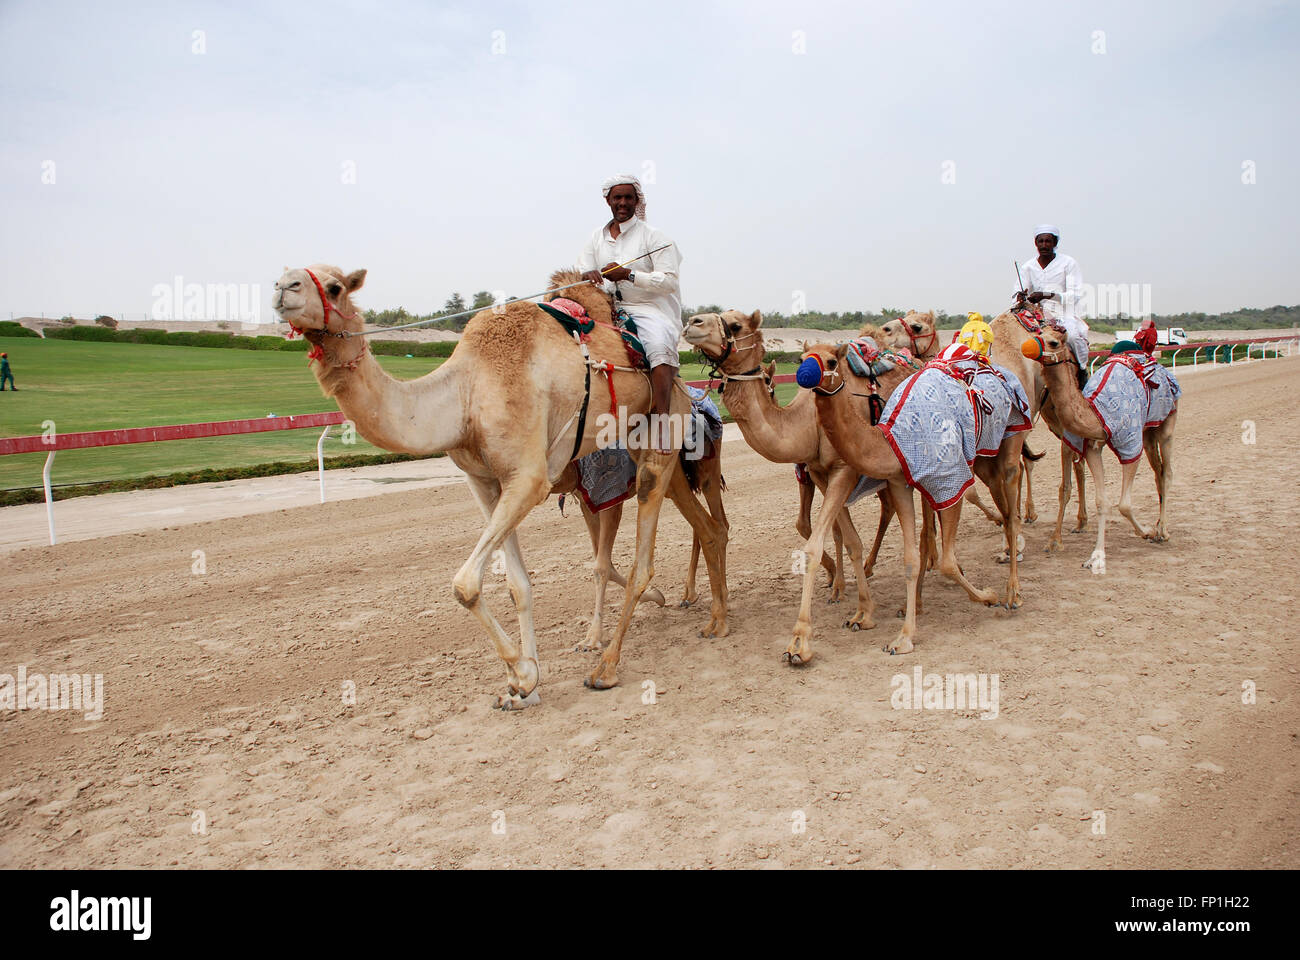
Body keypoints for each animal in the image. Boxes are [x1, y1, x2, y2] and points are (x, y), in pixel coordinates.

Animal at [272, 264, 729, 708]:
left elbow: (465, 584)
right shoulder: (484, 482)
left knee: (646, 554)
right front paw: (524, 684)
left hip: (660, 435)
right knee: (706, 527)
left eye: (335, 286)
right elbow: (517, 585)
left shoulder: (528, 479)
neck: (467, 394)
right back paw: (713, 617)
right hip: (642, 449)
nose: (282, 287)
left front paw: (523, 676)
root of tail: (687, 388)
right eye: (288, 273)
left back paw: (608, 667)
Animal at [683, 311, 914, 664]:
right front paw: (863, 613)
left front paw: (799, 642)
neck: (807, 419)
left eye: (736, 325)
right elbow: (850, 540)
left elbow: (814, 546)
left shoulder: (844, 468)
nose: (692, 322)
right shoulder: (818, 471)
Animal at [1021, 326, 1176, 574]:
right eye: (1037, 333)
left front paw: (1147, 531)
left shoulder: (1130, 444)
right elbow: (1101, 501)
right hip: (1148, 433)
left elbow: (1123, 504)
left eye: (1054, 342)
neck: (1093, 410)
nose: (1026, 347)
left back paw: (1163, 531)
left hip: (1167, 421)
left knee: (1168, 473)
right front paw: (1094, 555)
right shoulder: (1092, 445)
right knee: (1158, 472)